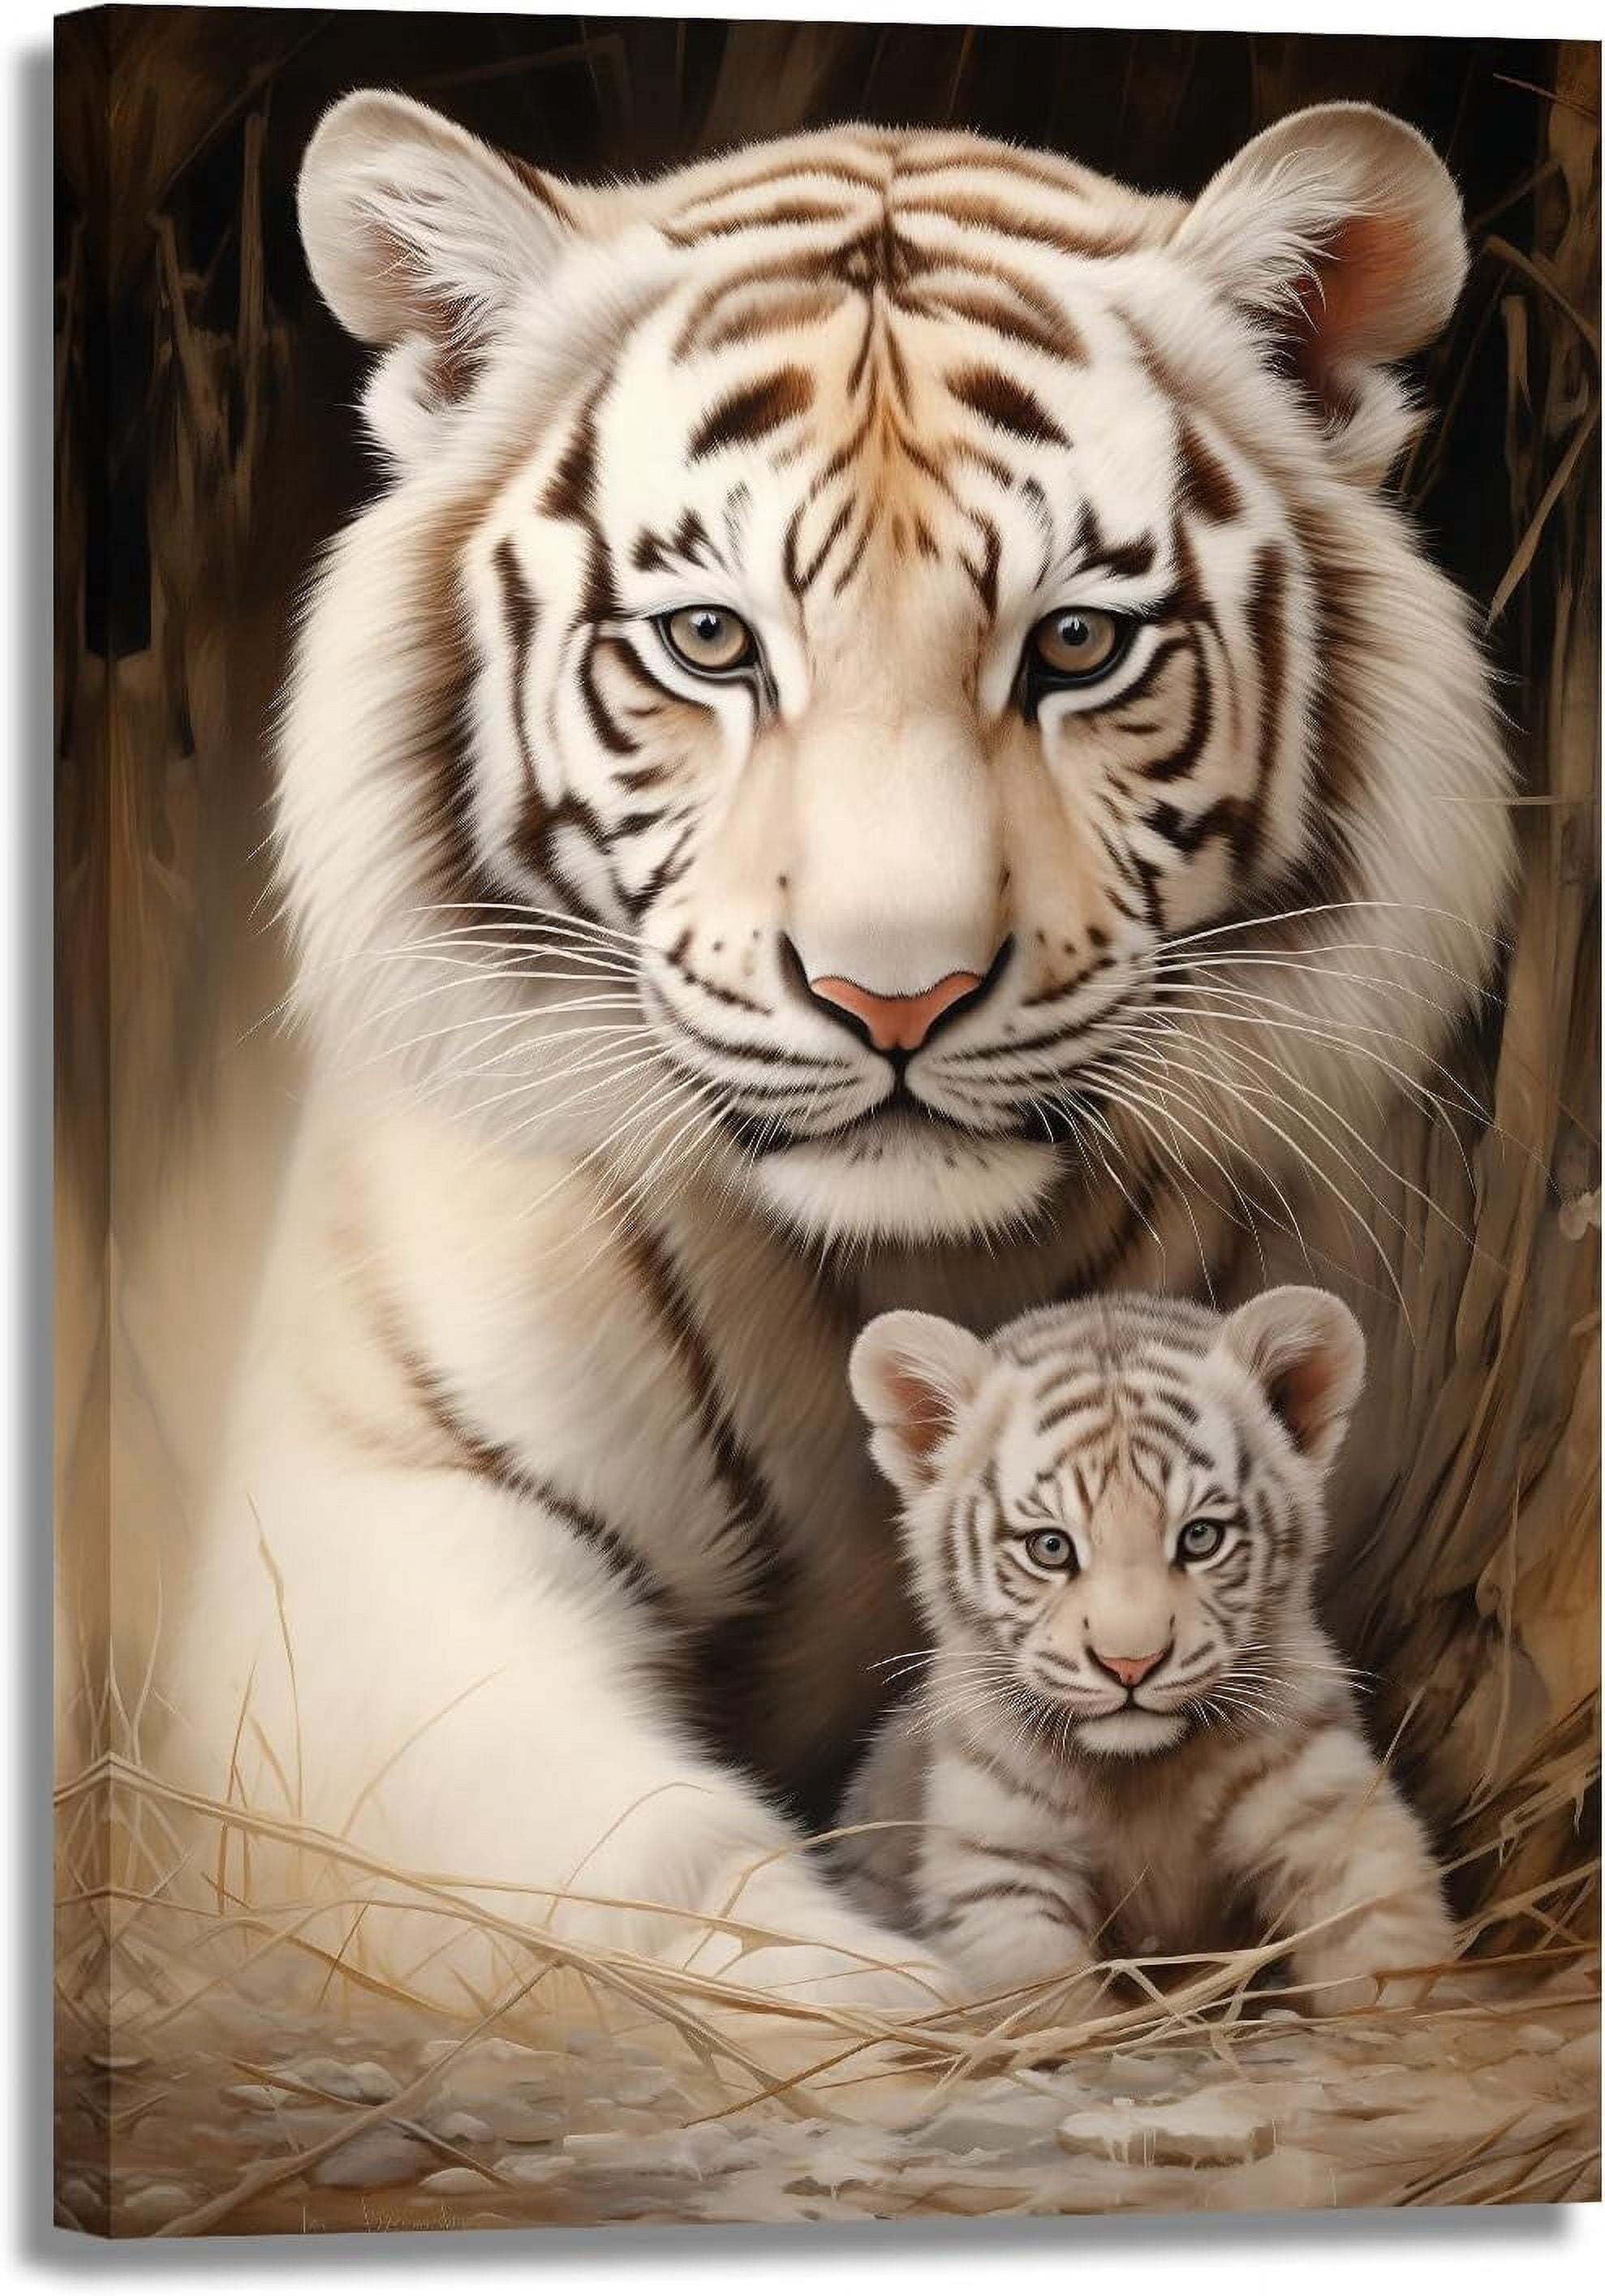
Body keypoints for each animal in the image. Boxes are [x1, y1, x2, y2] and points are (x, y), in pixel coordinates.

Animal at [838, 1287, 1454, 2018]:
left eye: (1200, 1537)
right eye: (1050, 1546)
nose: (1130, 1664)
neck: (1140, 1773)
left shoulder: (1328, 1811)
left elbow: (1386, 1939)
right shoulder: (1001, 1867)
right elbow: (1047, 1999)